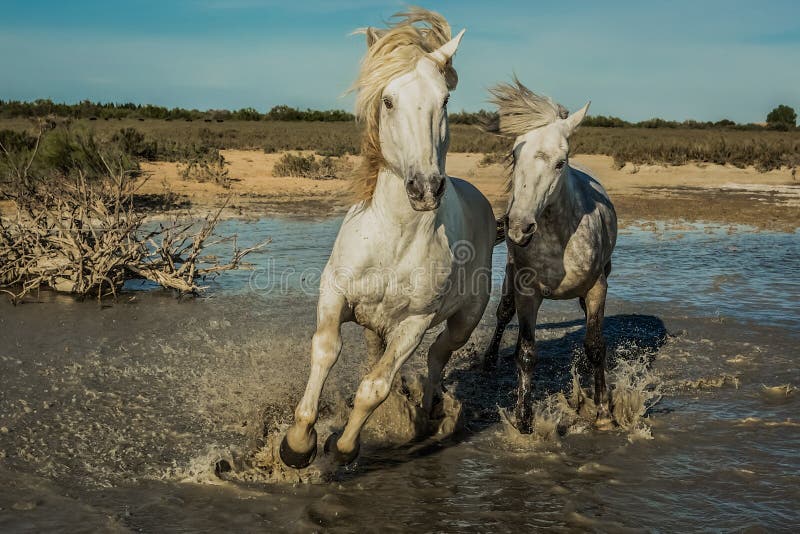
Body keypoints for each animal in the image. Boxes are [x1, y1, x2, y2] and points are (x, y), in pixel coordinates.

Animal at [280, 9, 497, 468]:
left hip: (460, 323)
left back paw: (429, 414)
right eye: (388, 100)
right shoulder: (335, 293)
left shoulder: (414, 324)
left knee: (436, 358)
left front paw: (342, 447)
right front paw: (298, 443)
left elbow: (374, 387)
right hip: (373, 324)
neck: (395, 236)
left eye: (444, 101)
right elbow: (325, 351)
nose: (426, 188)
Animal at [482, 78, 618, 433]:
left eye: (560, 162)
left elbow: (595, 345)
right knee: (503, 314)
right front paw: (523, 421)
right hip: (510, 276)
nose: (519, 227)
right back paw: (489, 361)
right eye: (515, 155)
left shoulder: (597, 288)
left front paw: (603, 413)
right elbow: (527, 353)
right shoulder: (528, 292)